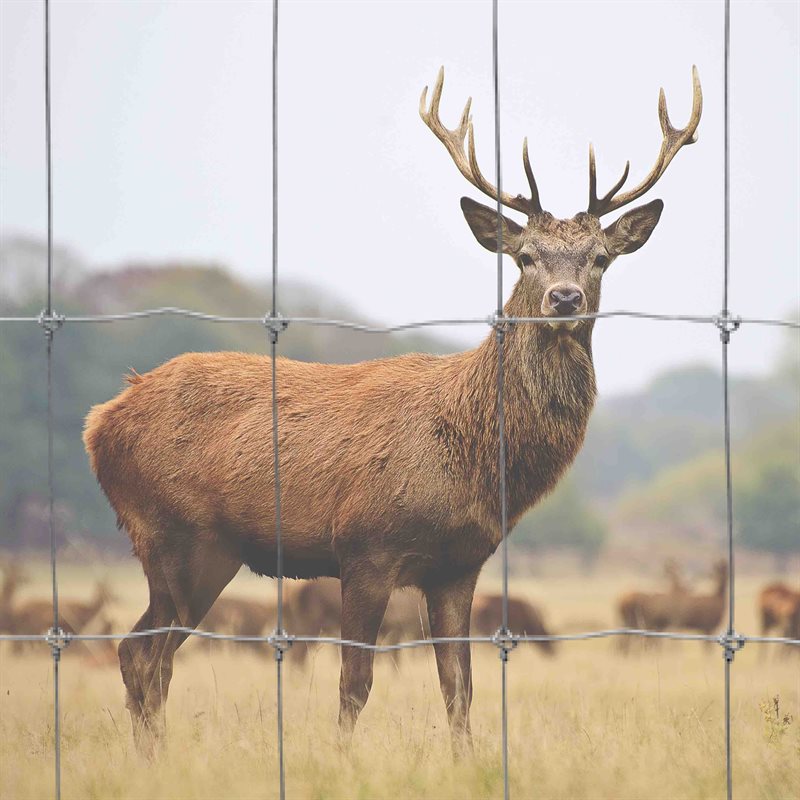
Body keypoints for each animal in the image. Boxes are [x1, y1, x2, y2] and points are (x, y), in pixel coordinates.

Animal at [82, 65, 702, 754]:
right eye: (525, 256)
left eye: (599, 258)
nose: (563, 298)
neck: (472, 455)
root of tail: (100, 421)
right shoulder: (365, 547)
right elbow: (355, 682)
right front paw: (341, 759)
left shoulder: (460, 564)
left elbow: (460, 686)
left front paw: (465, 761)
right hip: (176, 534)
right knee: (142, 653)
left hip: (192, 548)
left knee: (149, 655)